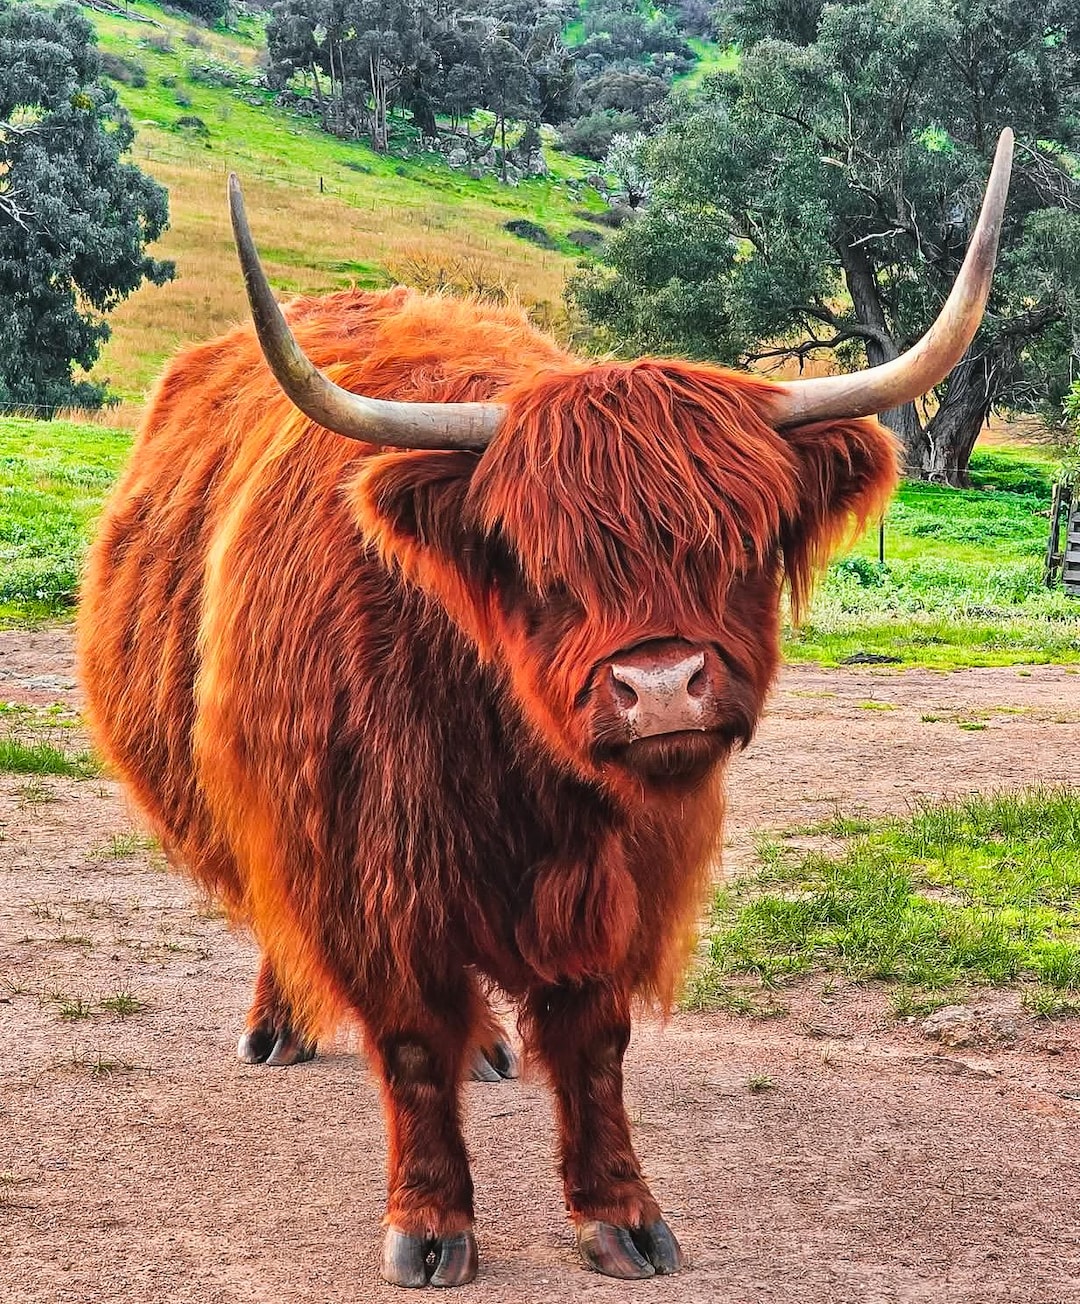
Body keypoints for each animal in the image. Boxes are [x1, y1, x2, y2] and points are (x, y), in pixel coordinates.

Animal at [77, 130, 1013, 1288]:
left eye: (740, 545)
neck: (517, 763)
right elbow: (410, 1042)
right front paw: (431, 1223)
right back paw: (279, 1025)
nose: (660, 686)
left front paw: (622, 1213)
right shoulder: (366, 863)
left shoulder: (623, 877)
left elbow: (594, 1041)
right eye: (540, 565)